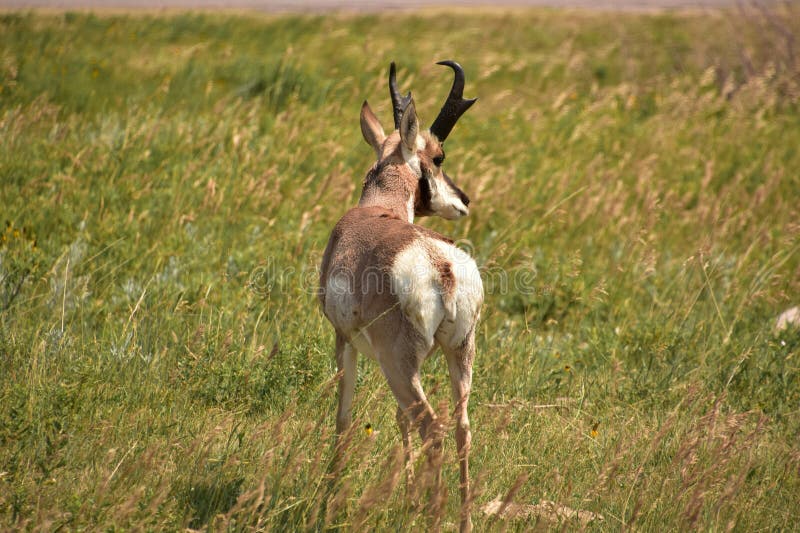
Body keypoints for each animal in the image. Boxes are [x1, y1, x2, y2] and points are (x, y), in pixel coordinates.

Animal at [319, 61, 482, 532]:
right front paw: (407, 497)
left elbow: (344, 417)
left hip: (399, 364)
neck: (378, 209)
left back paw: (431, 515)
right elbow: (397, 418)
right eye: (439, 157)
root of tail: (441, 264)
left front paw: (327, 501)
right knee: (461, 427)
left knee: (432, 427)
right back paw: (460, 519)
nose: (464, 200)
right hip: (457, 354)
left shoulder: (343, 342)